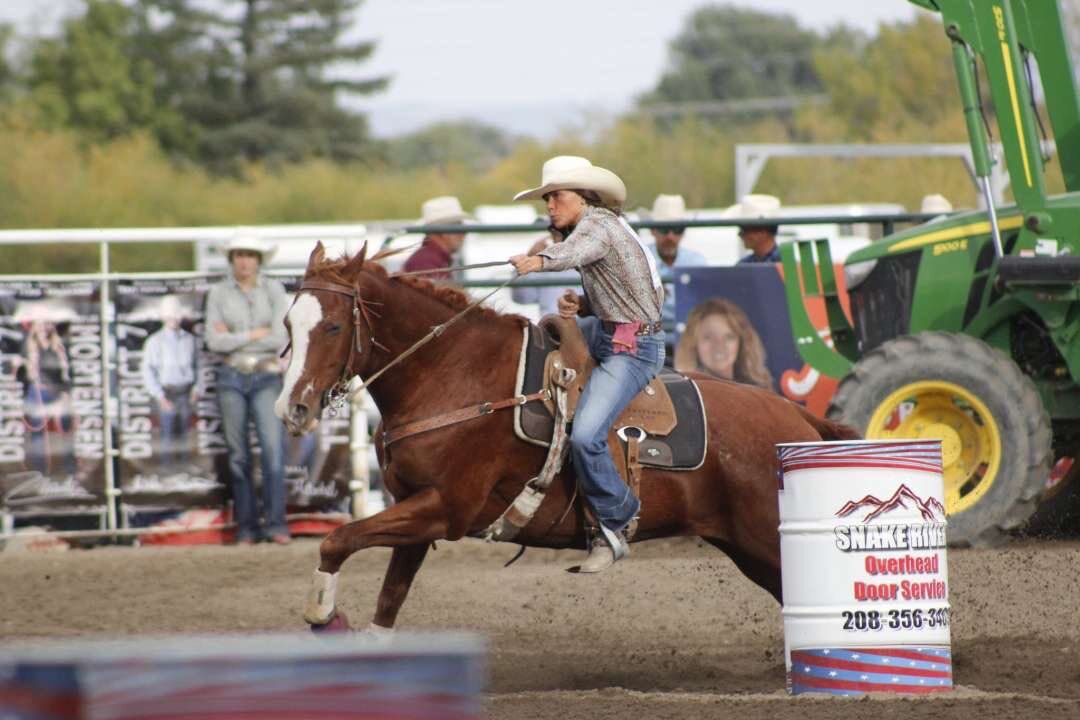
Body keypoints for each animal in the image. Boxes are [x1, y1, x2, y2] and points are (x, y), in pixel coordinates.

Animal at [275, 242, 860, 632]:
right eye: (287, 325)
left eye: (332, 326)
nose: (292, 407)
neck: (454, 373)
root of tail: (797, 419)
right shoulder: (416, 511)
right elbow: (389, 597)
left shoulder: (444, 507)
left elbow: (336, 539)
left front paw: (323, 615)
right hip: (751, 548)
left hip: (767, 540)